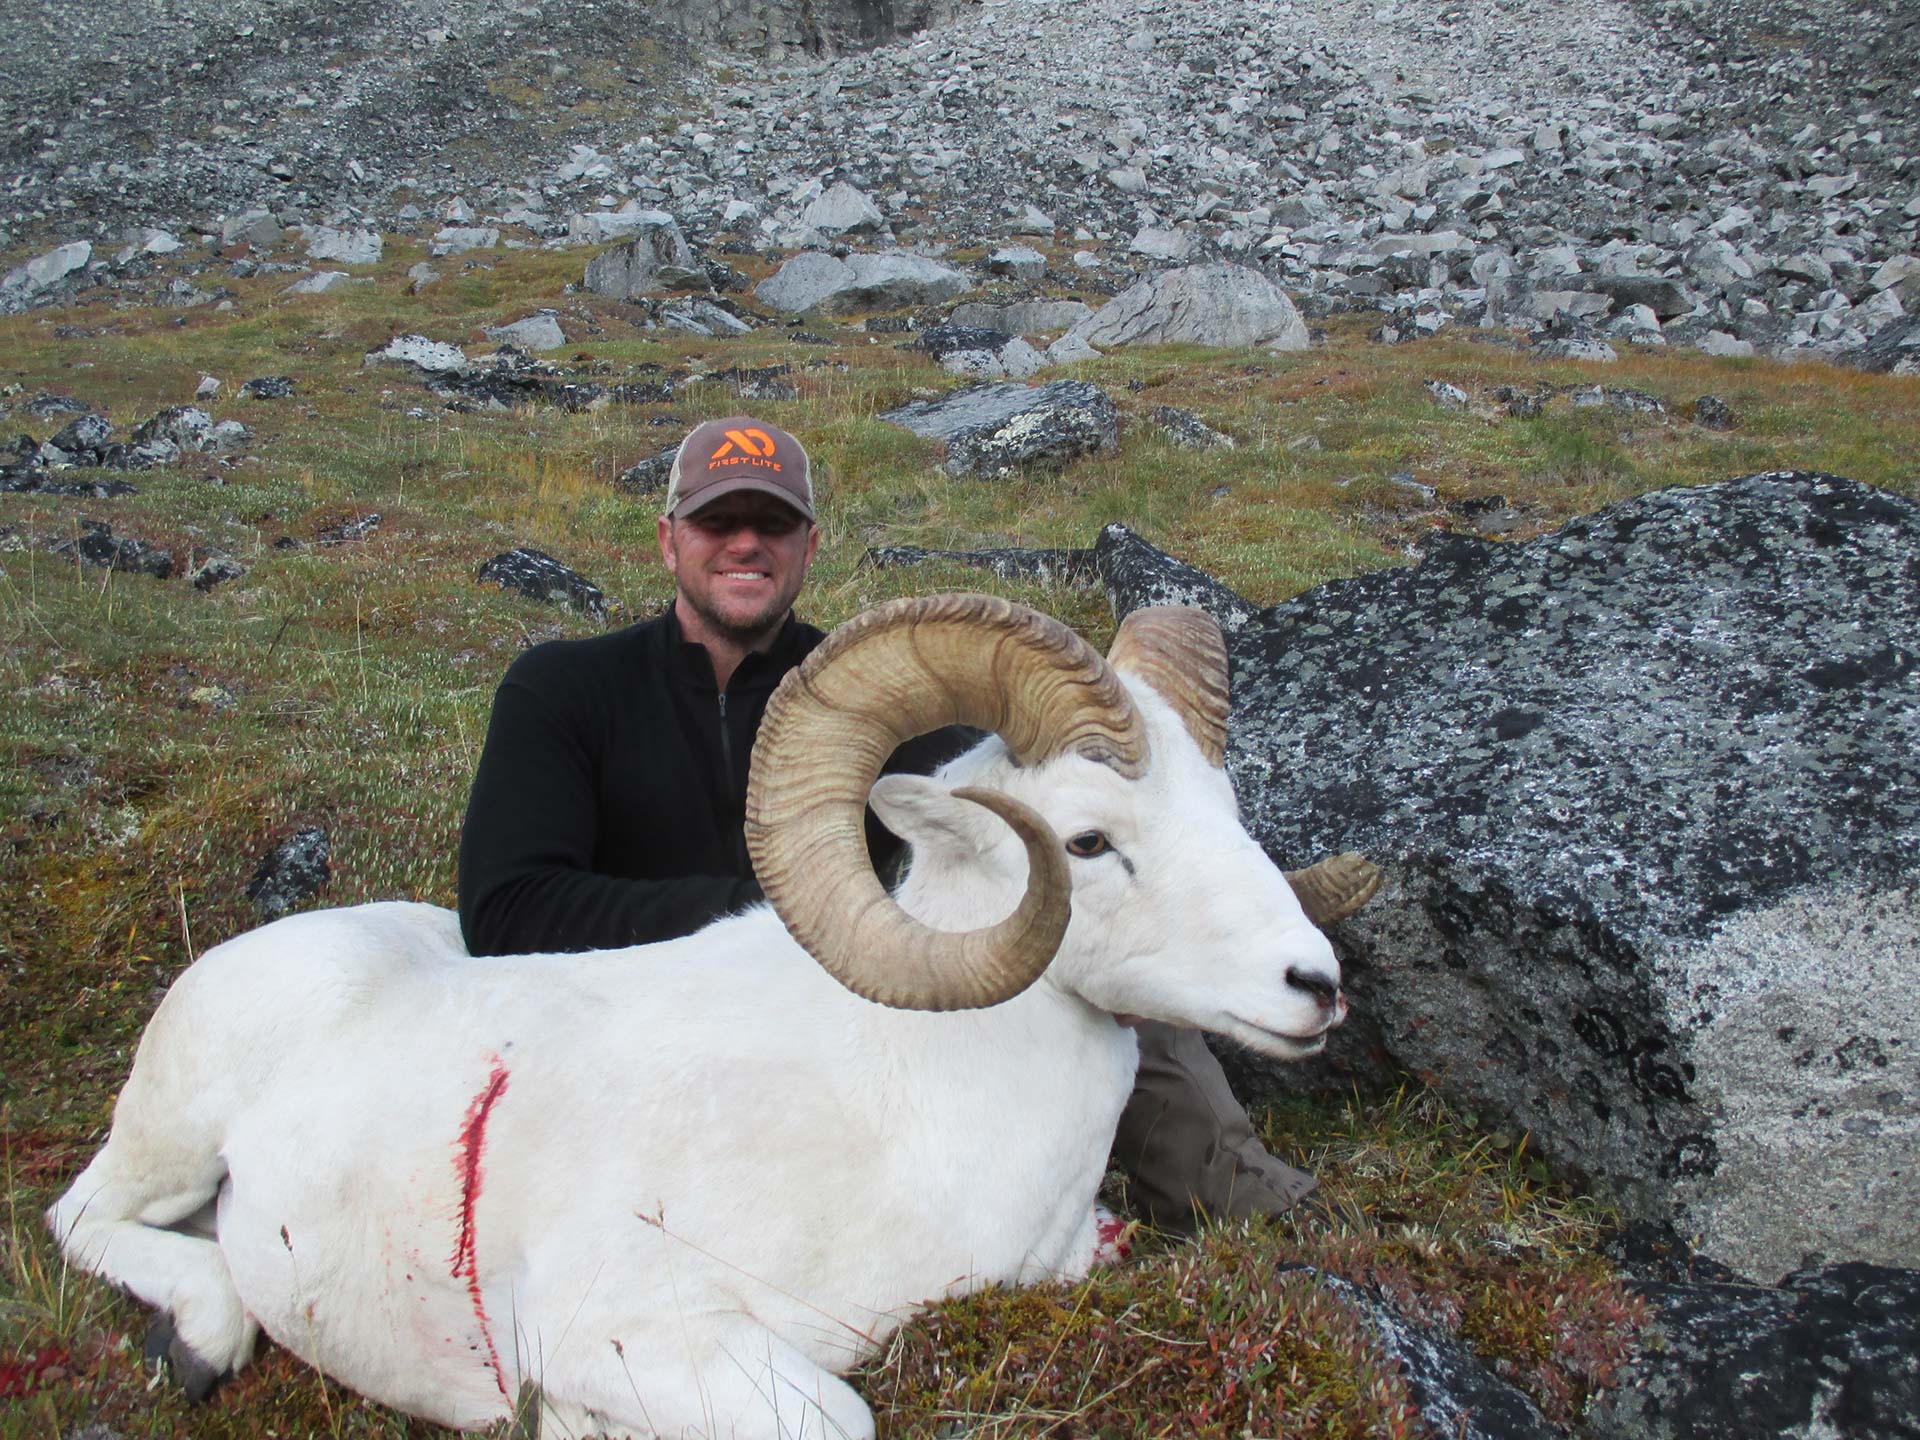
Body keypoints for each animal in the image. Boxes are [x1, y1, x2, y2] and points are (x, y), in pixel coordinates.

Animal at [48, 594, 1375, 1440]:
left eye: (1228, 806)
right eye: (1090, 842)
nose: (1316, 986)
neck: (918, 1108)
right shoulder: (636, 1325)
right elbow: (840, 1418)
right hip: (169, 1144)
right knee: (84, 1220)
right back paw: (202, 1340)